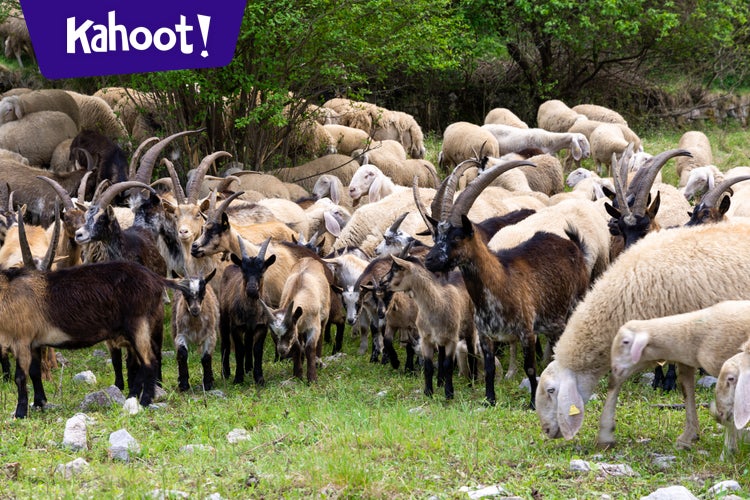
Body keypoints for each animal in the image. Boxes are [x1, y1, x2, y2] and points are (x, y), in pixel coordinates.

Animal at [385, 255, 477, 399]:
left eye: (396, 269)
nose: (382, 283)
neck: (438, 304)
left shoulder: (452, 338)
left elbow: (448, 365)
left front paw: (449, 393)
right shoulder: (426, 339)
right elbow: (429, 366)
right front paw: (428, 392)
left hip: (470, 326)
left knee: (472, 351)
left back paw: (472, 381)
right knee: (441, 355)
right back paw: (440, 381)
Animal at [417, 158, 591, 408]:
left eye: (456, 237)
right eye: (435, 237)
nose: (429, 260)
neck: (500, 282)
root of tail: (574, 246)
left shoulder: (527, 332)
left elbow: (530, 368)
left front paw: (532, 404)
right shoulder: (486, 335)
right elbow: (489, 369)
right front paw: (489, 400)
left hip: (575, 305)